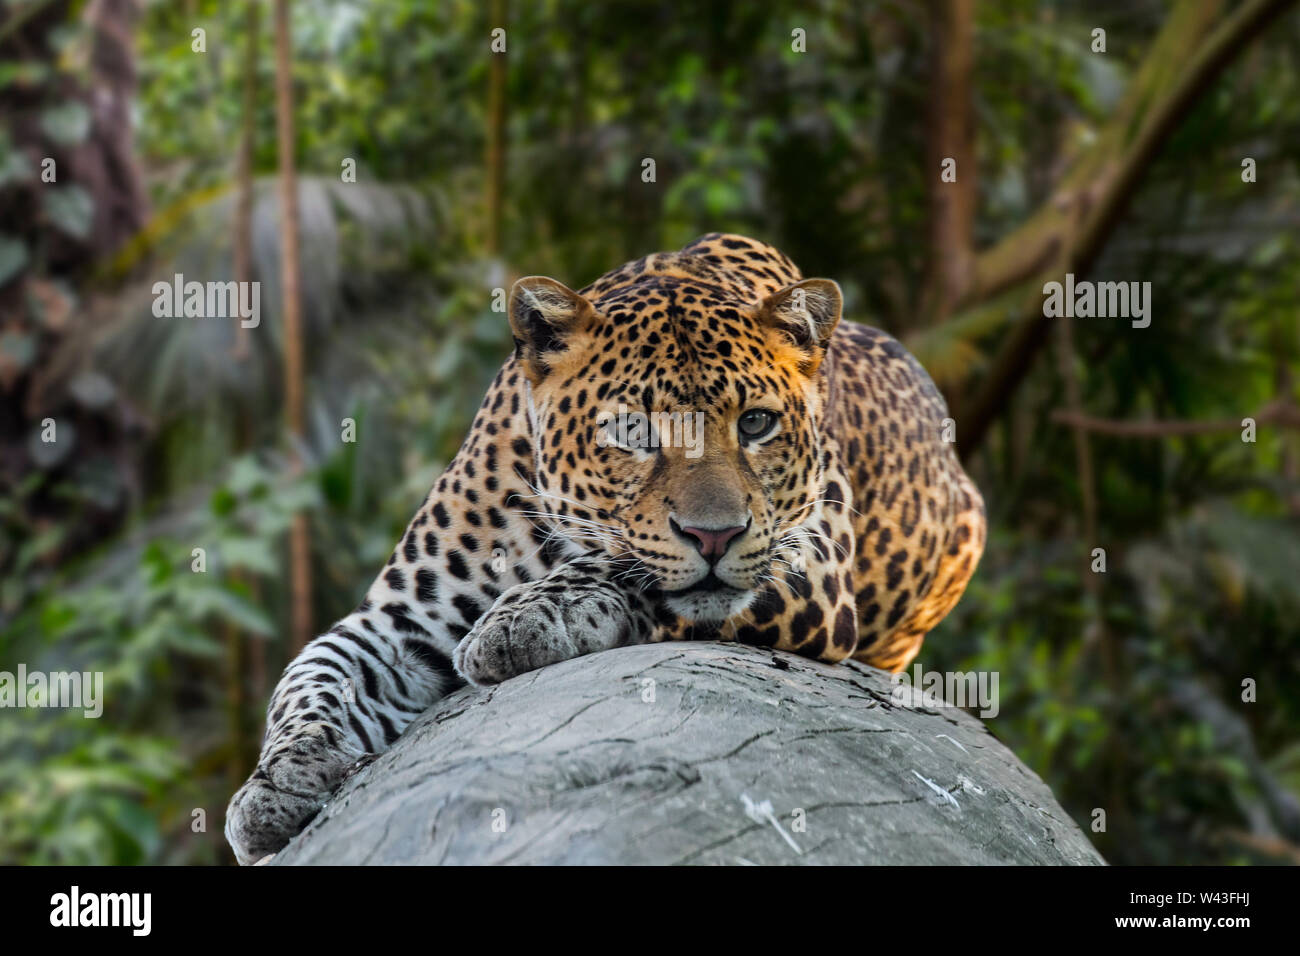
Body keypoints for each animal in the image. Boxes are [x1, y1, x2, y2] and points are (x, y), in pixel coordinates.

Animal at [223, 234, 977, 868]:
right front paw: (275, 785)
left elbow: (629, 566)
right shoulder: (398, 619)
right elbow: (310, 678)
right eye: (634, 431)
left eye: (757, 423)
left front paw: (523, 619)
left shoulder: (808, 555)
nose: (715, 534)